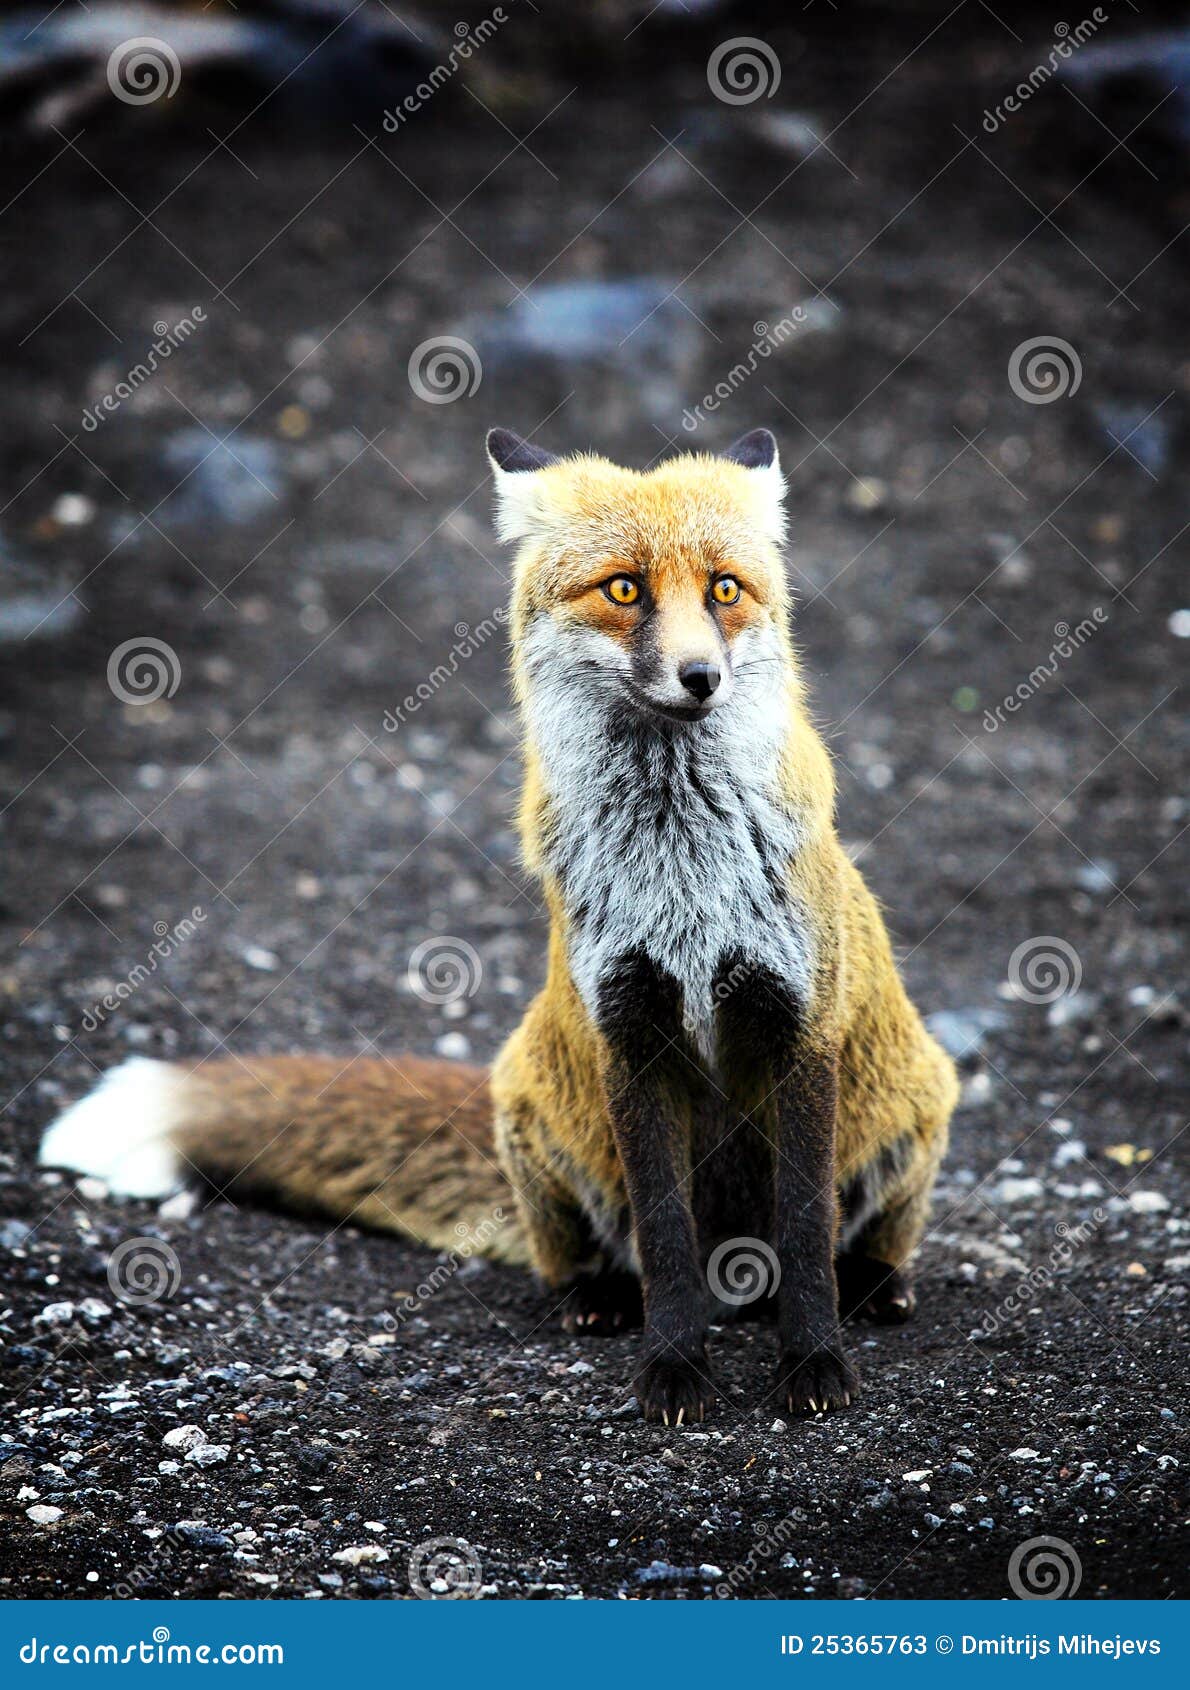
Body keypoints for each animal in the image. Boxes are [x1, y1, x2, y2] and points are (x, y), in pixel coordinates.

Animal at [40, 426, 958, 1425]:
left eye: (724, 588)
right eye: (624, 589)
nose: (701, 677)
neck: (682, 877)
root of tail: (738, 1278)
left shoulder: (800, 1026)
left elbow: (802, 1225)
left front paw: (813, 1364)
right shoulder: (628, 1030)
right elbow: (666, 1239)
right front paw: (674, 1367)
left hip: (912, 1103)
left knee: (844, 1242)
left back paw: (875, 1282)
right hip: (533, 1108)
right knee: (593, 1257)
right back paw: (598, 1296)